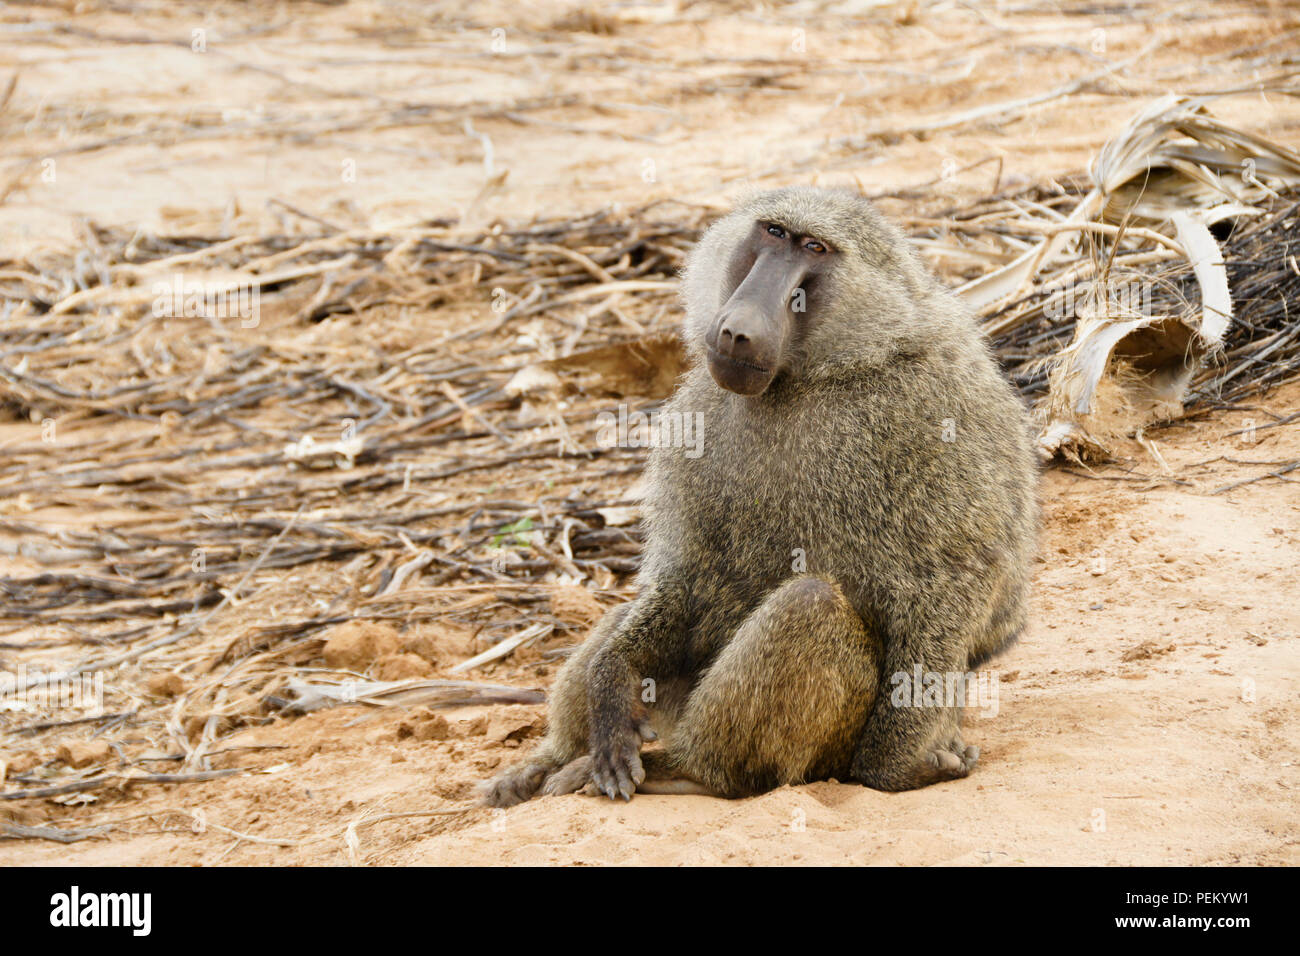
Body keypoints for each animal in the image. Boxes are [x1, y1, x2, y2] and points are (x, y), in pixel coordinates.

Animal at [484, 186, 1038, 806]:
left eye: (814, 248)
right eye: (773, 233)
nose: (737, 329)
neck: (818, 374)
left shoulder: (935, 410)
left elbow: (956, 583)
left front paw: (898, 767)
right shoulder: (698, 413)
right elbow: (687, 572)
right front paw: (610, 683)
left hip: (826, 748)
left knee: (812, 603)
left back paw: (689, 770)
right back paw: (550, 763)